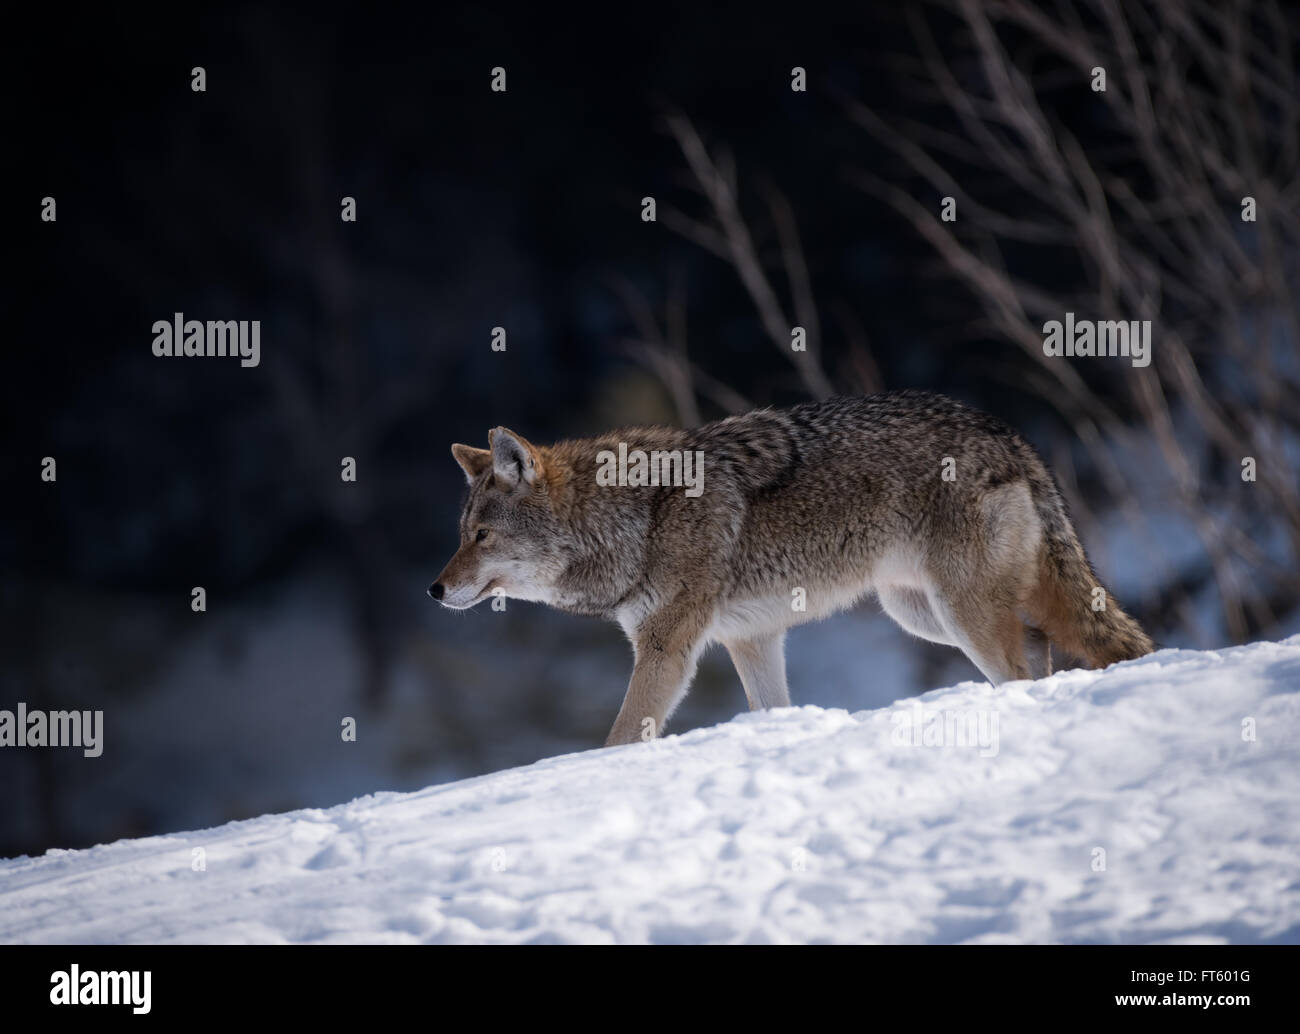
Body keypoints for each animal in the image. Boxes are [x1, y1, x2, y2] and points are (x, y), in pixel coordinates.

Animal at [430, 391, 1153, 746]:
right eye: (460, 537)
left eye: (482, 537)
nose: (434, 589)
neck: (636, 516)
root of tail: (1006, 432)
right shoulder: (751, 640)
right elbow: (770, 708)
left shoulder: (667, 649)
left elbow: (617, 739)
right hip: (921, 614)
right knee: (1038, 643)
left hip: (958, 614)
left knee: (1022, 666)